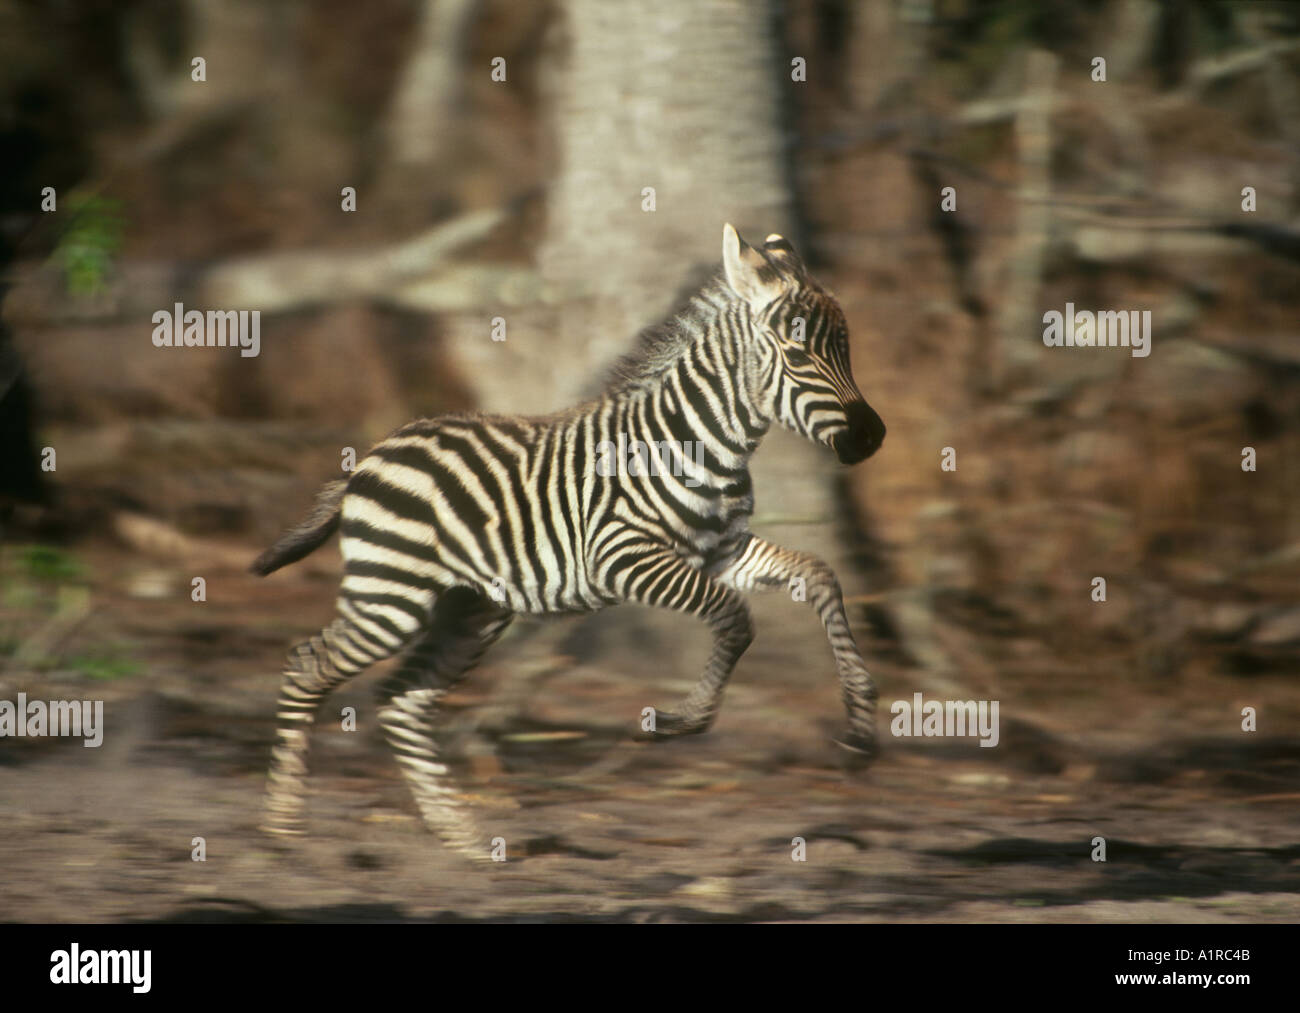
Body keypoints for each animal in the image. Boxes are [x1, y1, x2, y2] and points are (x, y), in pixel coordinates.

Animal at [251, 223, 887, 857]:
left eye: (847, 350)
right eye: (799, 354)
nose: (872, 438)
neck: (703, 444)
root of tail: (369, 458)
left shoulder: (722, 551)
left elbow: (819, 574)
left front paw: (859, 721)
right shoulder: (624, 559)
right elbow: (735, 617)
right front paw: (683, 720)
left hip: (470, 610)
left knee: (402, 700)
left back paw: (460, 835)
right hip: (393, 596)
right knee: (308, 665)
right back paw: (282, 827)